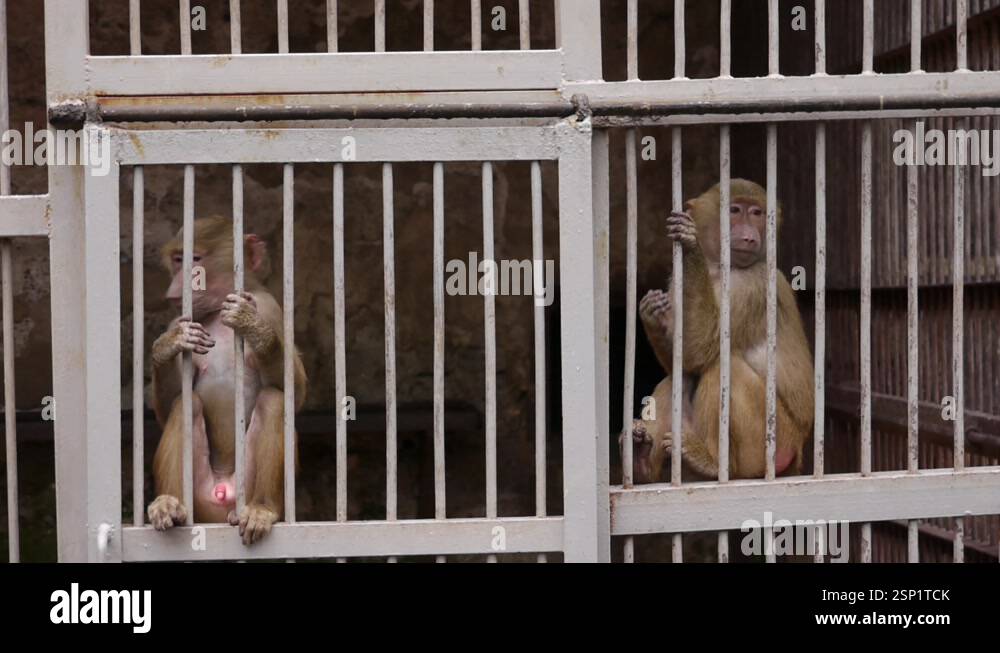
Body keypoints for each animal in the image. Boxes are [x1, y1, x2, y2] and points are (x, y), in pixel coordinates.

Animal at [147, 215, 307, 545]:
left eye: (196, 260)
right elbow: (167, 410)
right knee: (186, 404)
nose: (174, 289)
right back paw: (169, 504)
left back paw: (262, 510)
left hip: (247, 489)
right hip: (199, 499)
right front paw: (168, 345)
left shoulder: (270, 307)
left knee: (273, 400)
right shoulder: (179, 319)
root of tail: (223, 493)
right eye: (178, 260)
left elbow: (294, 394)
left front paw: (254, 328)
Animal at [623, 179, 814, 482]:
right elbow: (685, 361)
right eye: (734, 210)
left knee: (723, 365)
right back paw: (641, 462)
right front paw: (652, 314)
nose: (749, 237)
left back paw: (712, 463)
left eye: (757, 213)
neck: (716, 269)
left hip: (772, 444)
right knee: (680, 378)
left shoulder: (750, 285)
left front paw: (690, 242)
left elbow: (702, 351)